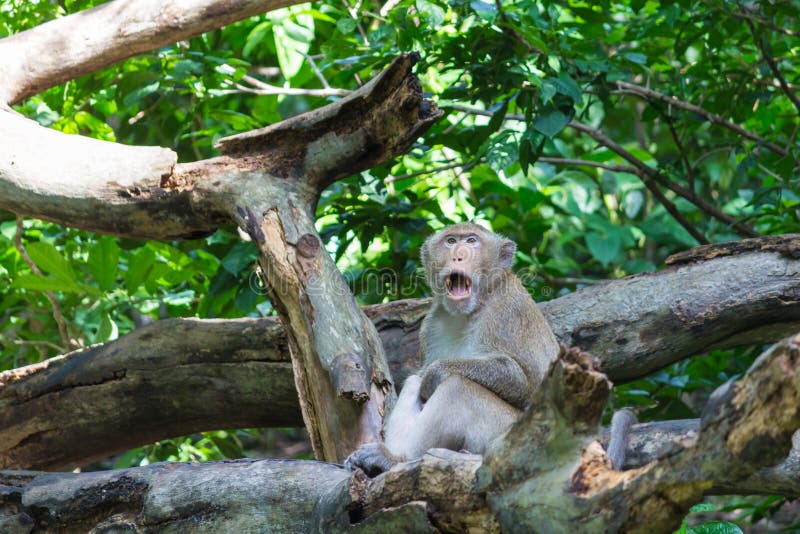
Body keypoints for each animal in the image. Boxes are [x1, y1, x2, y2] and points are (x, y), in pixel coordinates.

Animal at [345, 222, 633, 476]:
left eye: (472, 241)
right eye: (451, 241)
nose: (459, 255)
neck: (472, 308)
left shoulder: (506, 311)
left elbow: (528, 383)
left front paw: (435, 374)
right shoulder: (430, 325)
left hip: (507, 438)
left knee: (458, 389)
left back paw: (395, 459)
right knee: (417, 382)